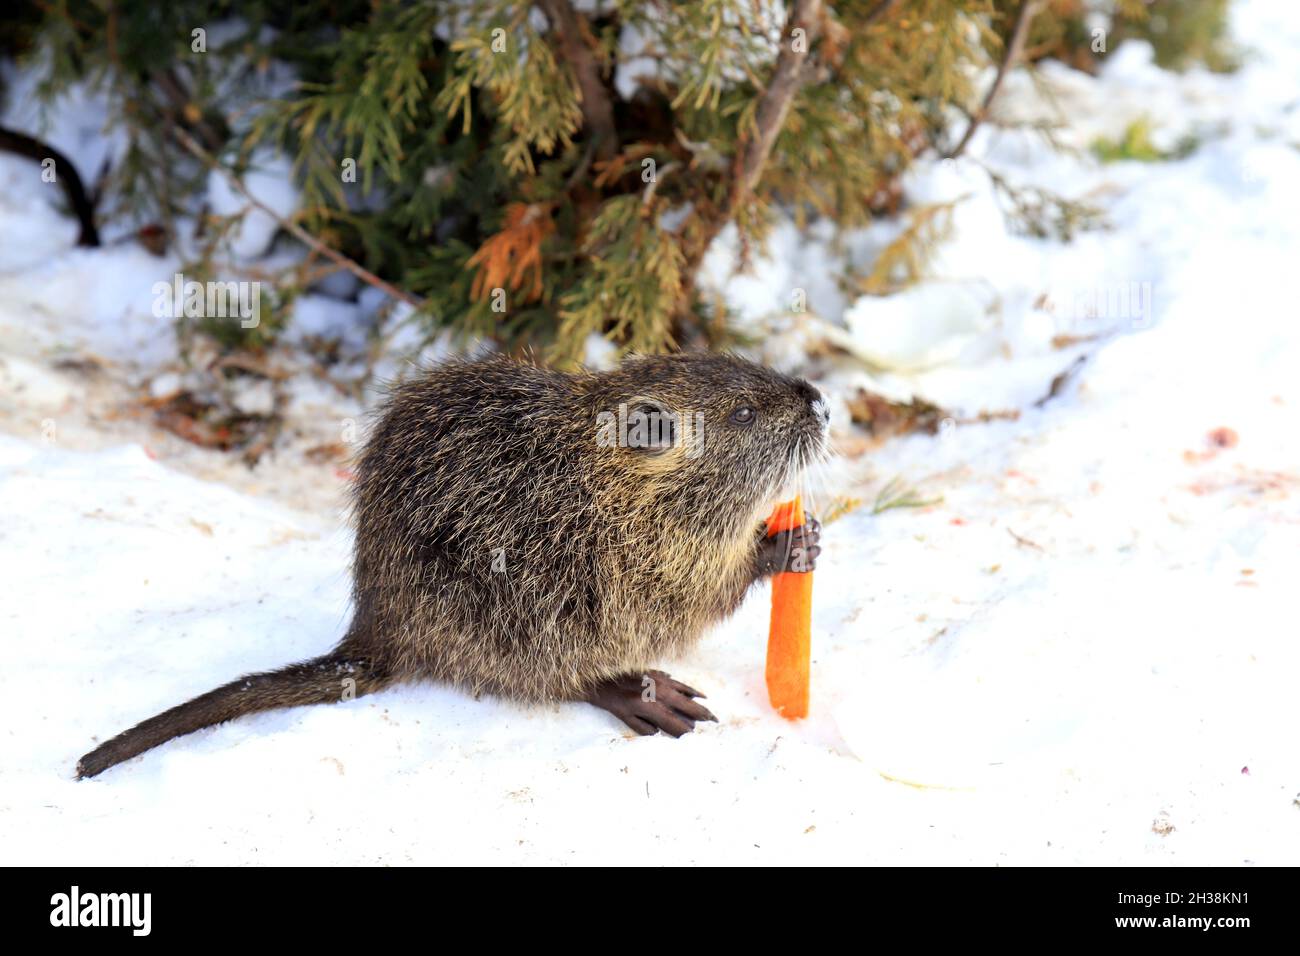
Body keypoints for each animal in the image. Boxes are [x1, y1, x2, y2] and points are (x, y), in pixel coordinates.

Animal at [77, 352, 828, 777]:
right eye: (744, 412)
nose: (816, 399)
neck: (604, 479)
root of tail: (374, 635)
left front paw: (805, 531)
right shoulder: (641, 558)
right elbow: (697, 596)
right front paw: (784, 546)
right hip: (514, 615)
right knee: (554, 673)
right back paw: (650, 696)